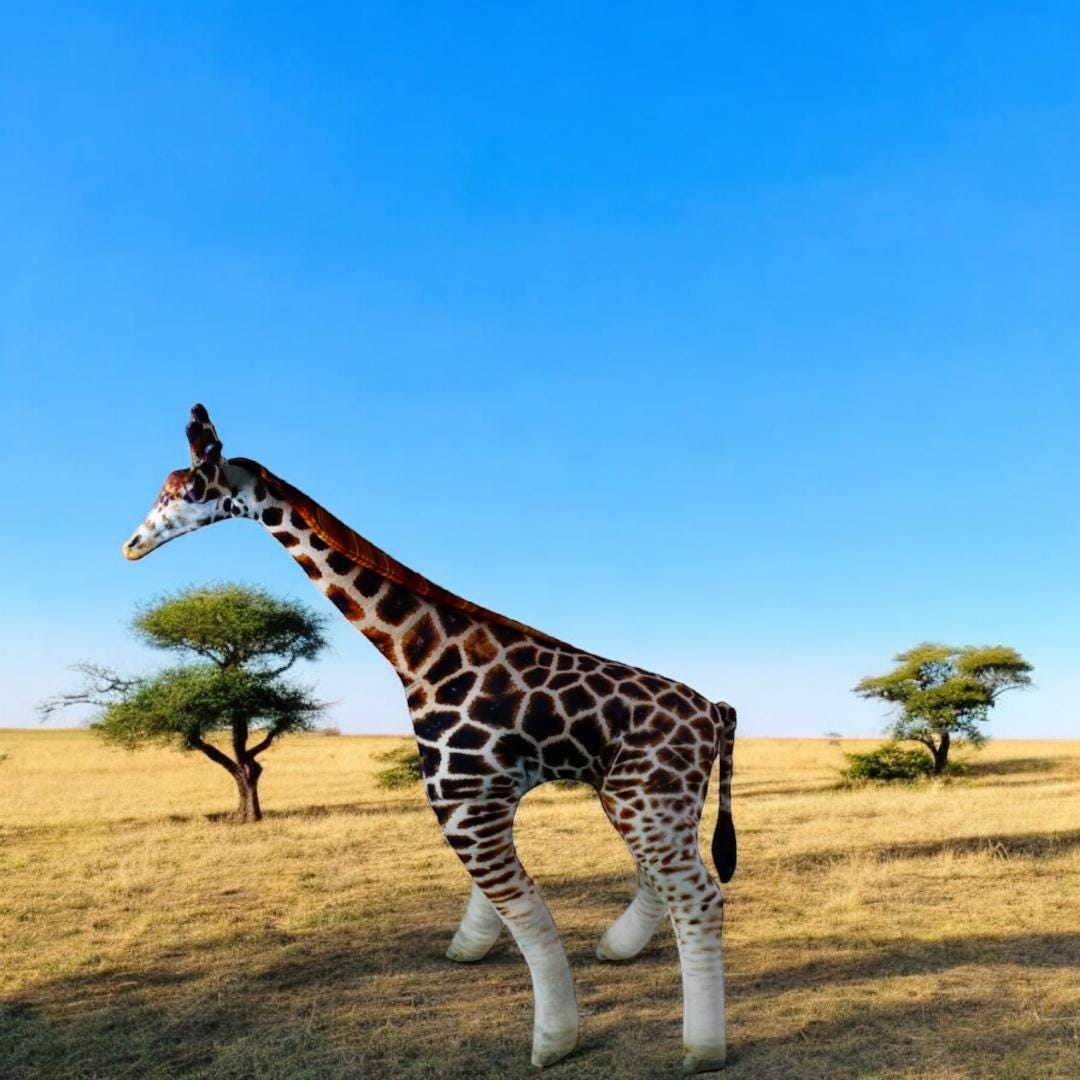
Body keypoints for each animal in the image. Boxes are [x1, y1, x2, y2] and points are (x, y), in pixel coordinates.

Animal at [122, 405, 738, 1074]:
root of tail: (714, 711)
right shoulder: (491, 795)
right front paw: (469, 949)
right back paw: (618, 949)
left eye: (187, 491)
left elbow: (531, 918)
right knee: (662, 881)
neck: (417, 660)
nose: (131, 545)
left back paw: (702, 1051)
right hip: (656, 800)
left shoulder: (463, 801)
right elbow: (507, 906)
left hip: (646, 799)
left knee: (698, 898)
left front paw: (552, 1043)